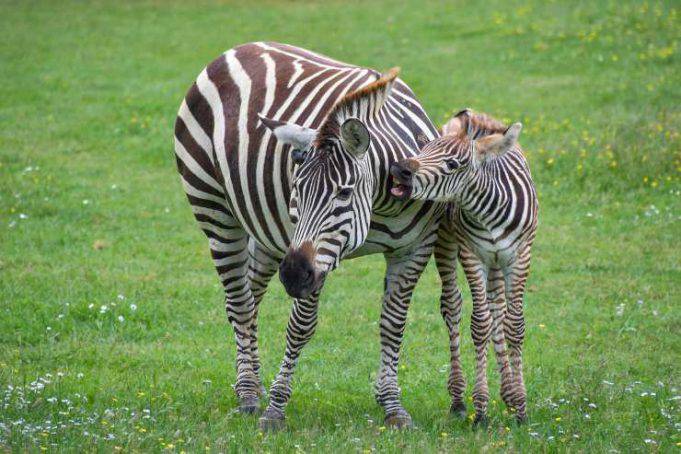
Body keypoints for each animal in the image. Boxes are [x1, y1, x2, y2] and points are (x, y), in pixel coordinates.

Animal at [173, 42, 466, 430]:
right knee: (238, 303)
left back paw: (249, 382)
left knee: (250, 297)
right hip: (215, 210)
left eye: (343, 192)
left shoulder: (414, 248)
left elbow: (392, 324)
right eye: (297, 189)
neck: (382, 203)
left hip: (267, 235)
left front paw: (392, 406)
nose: (294, 275)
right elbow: (301, 327)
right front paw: (275, 410)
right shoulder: (313, 256)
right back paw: (250, 394)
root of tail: (239, 48)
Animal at [390, 109, 539, 424]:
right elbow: (480, 324)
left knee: (498, 309)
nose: (398, 170)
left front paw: (520, 406)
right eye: (423, 150)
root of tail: (471, 117)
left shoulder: (520, 255)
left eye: (453, 164)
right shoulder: (472, 254)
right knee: (453, 305)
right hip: (446, 241)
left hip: (497, 261)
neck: (489, 211)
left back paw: (508, 393)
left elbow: (514, 324)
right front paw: (480, 408)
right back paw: (459, 400)